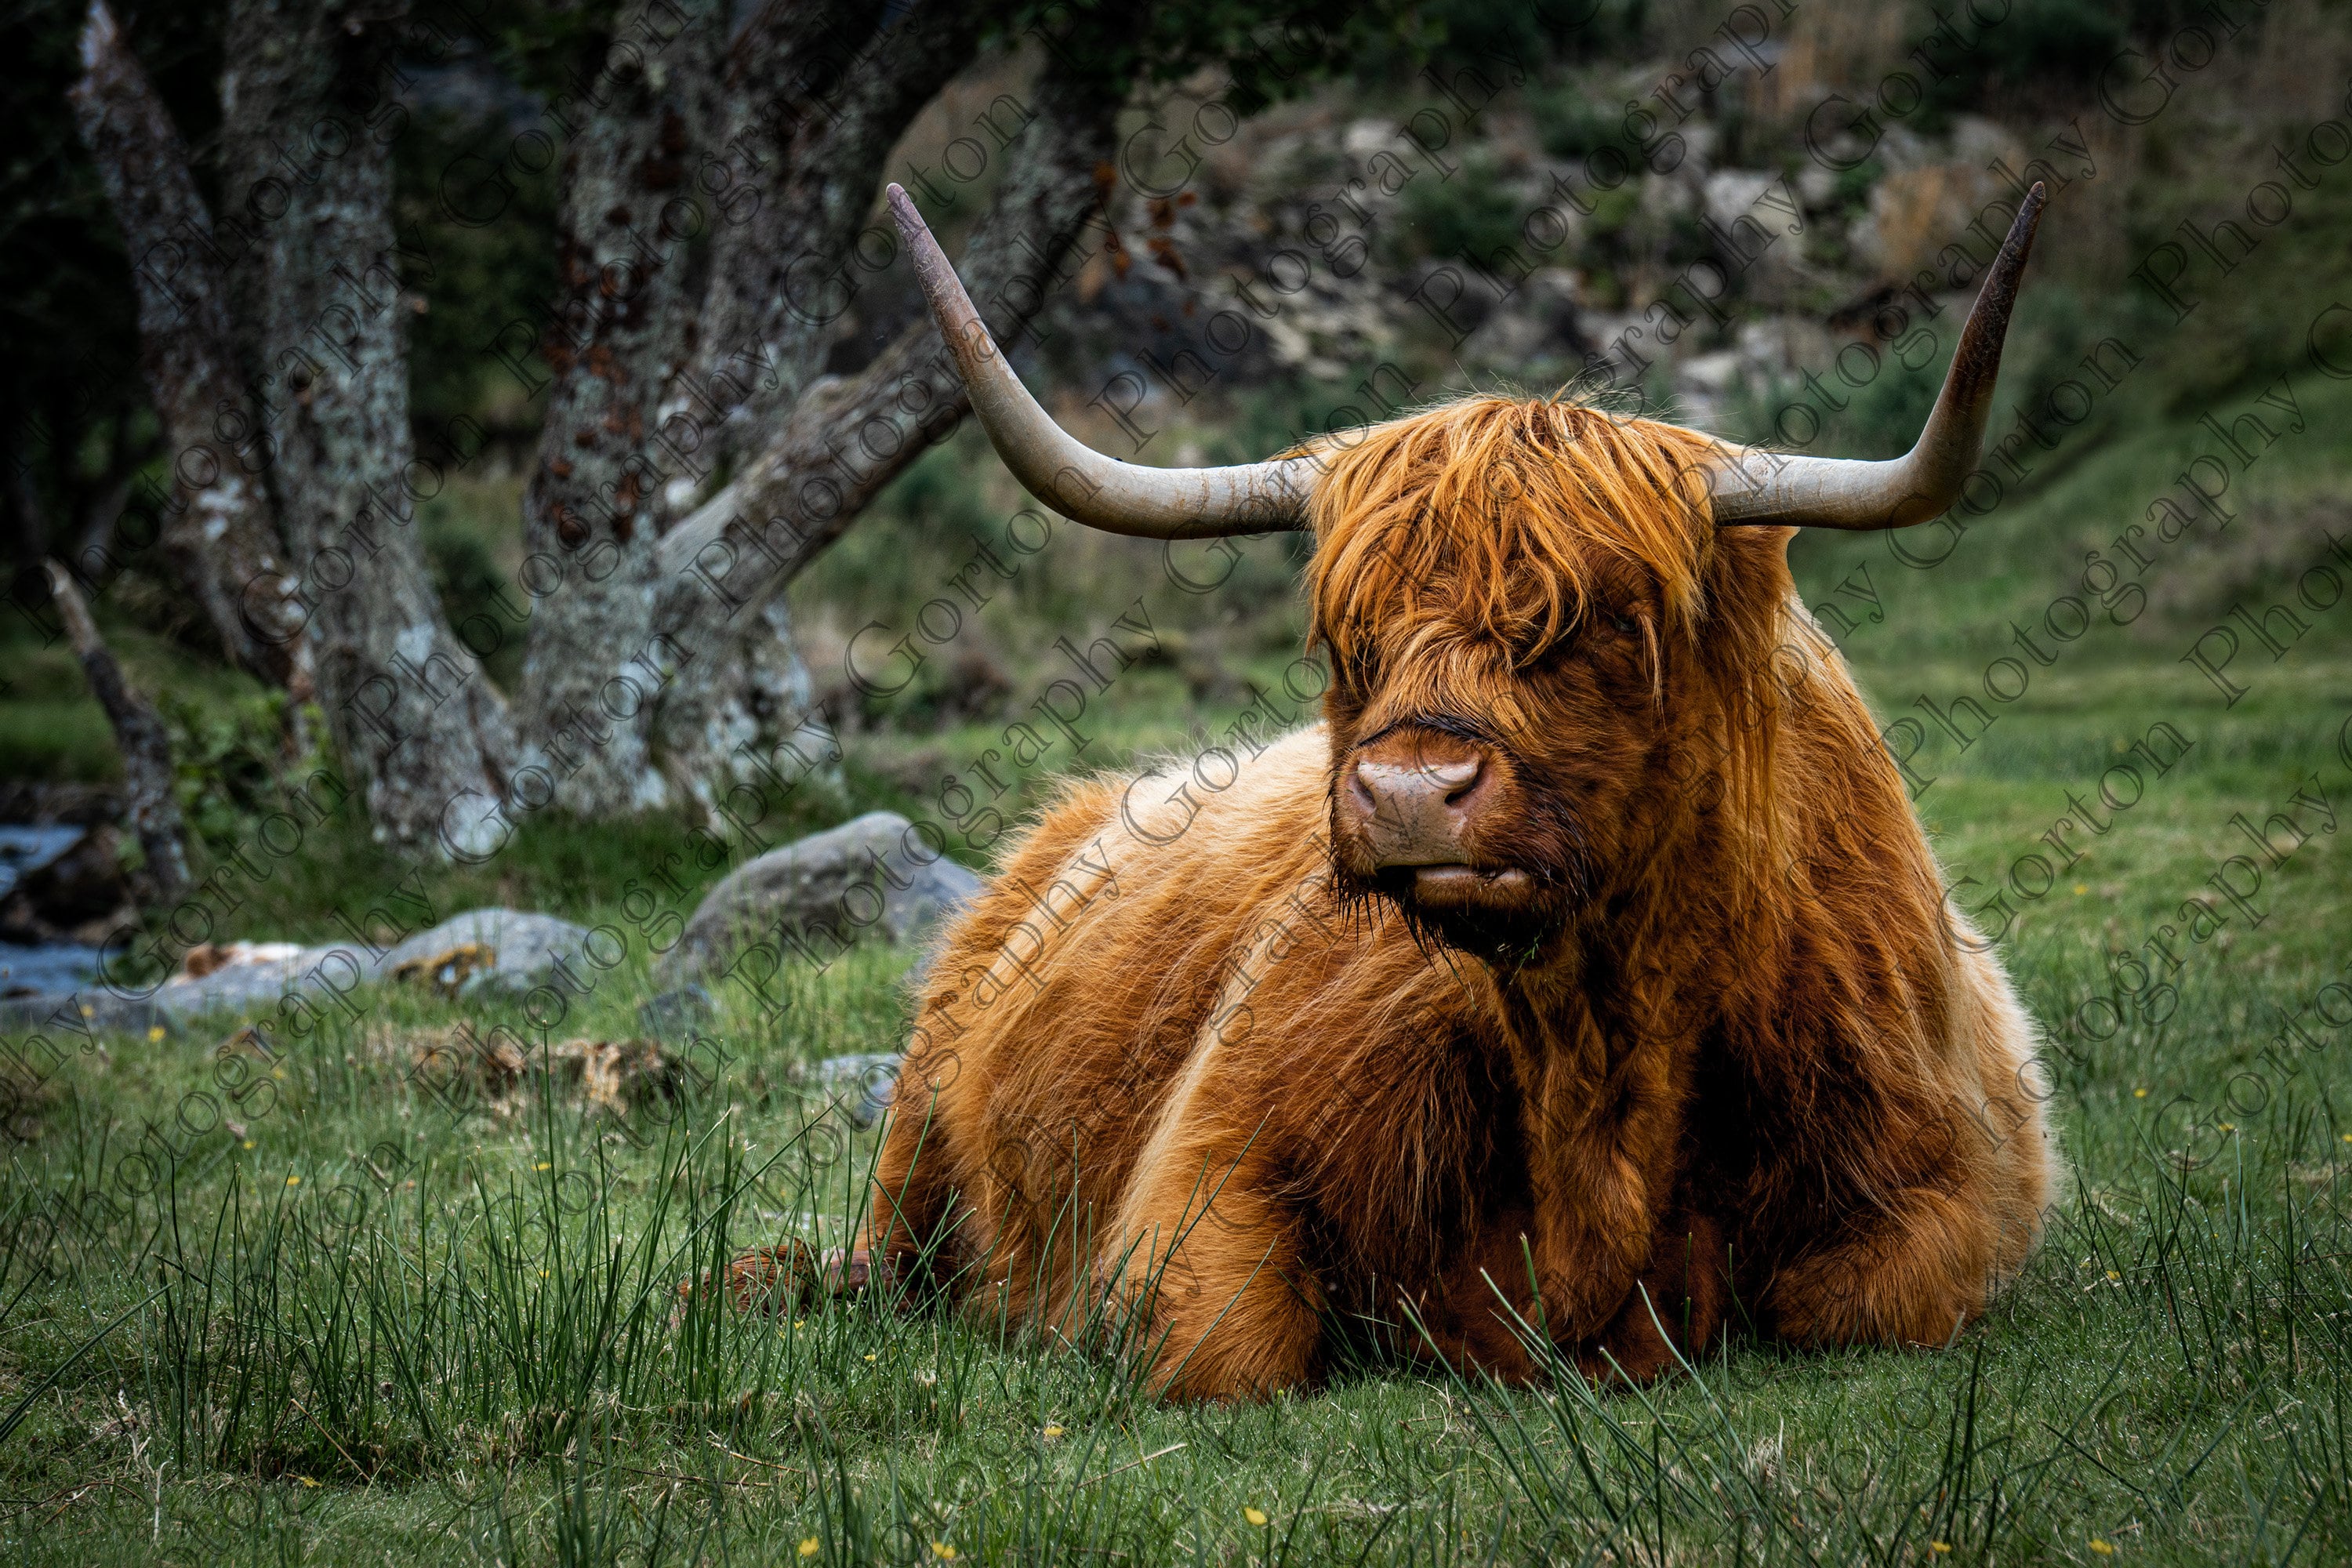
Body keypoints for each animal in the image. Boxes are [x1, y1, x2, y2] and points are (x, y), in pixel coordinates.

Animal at [727, 183, 2060, 1403]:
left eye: (1606, 624)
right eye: (1348, 637)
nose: (1411, 791)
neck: (1597, 1063)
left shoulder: (1953, 1194)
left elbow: (1869, 1301)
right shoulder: (1203, 1173)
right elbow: (1220, 1346)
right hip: (920, 1107)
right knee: (884, 1259)